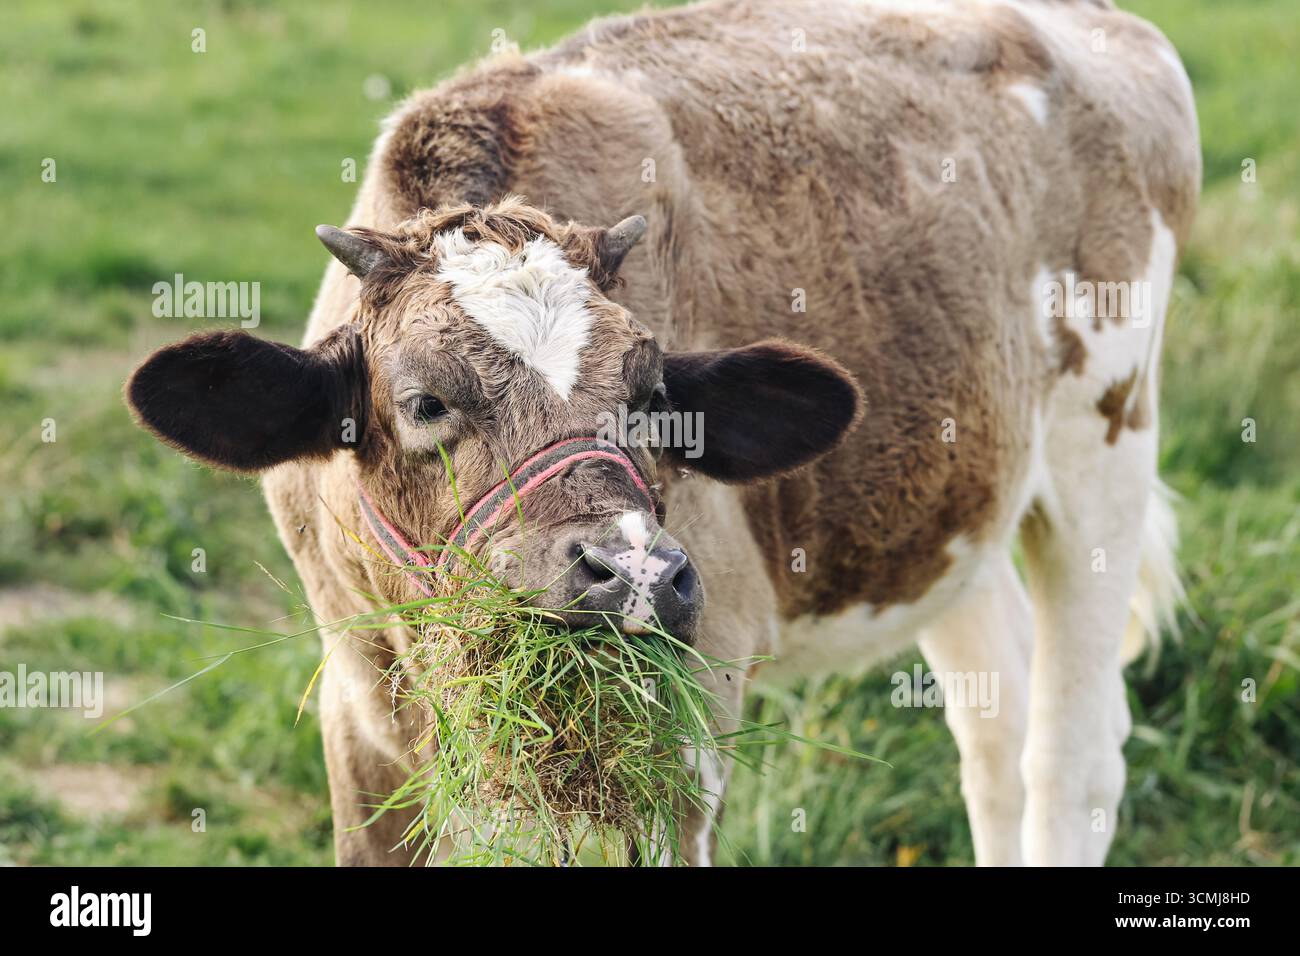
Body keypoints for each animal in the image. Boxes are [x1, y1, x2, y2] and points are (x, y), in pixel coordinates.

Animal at [126, 0, 1199, 866]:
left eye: (651, 395)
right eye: (425, 402)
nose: (633, 573)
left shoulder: (692, 713)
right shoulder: (357, 712)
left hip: (1105, 447)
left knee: (1072, 758)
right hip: (952, 510)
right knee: (997, 728)